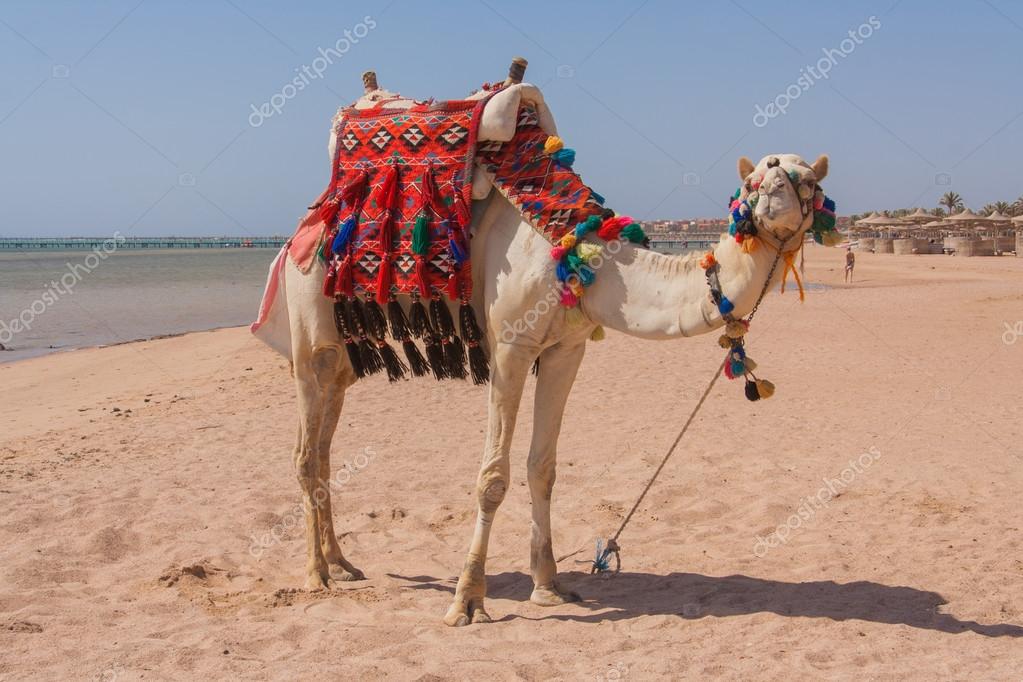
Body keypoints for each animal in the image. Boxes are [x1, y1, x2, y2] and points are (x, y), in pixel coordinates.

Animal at [251, 66, 831, 627]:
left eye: (807, 182)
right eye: (753, 181)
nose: (772, 199)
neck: (581, 258)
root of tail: (304, 225)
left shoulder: (565, 350)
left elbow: (543, 468)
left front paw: (549, 585)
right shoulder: (511, 343)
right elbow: (492, 477)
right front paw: (467, 600)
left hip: (344, 357)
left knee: (325, 447)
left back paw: (342, 564)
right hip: (311, 332)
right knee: (306, 452)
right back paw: (315, 575)